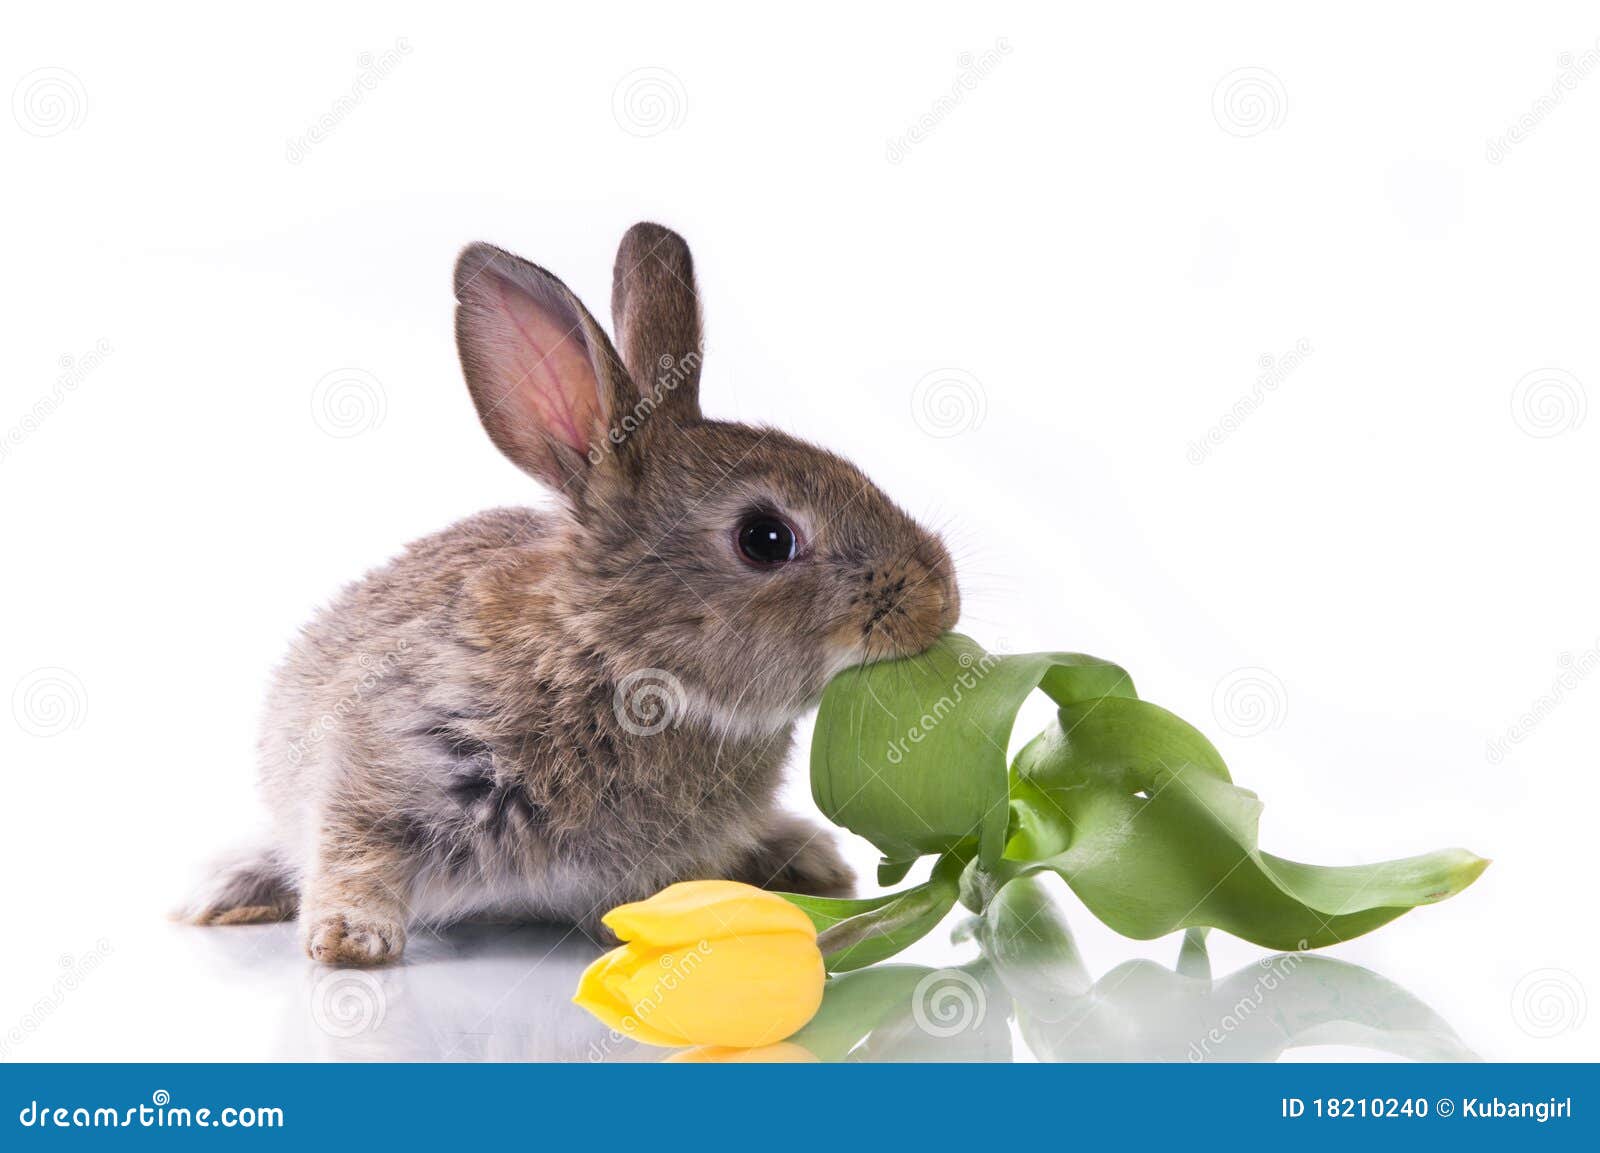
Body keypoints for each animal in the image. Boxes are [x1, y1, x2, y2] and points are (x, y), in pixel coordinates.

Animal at [179, 222, 960, 965]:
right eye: (765, 538)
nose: (938, 600)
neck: (609, 652)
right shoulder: (384, 762)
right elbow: (356, 853)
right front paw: (349, 942)